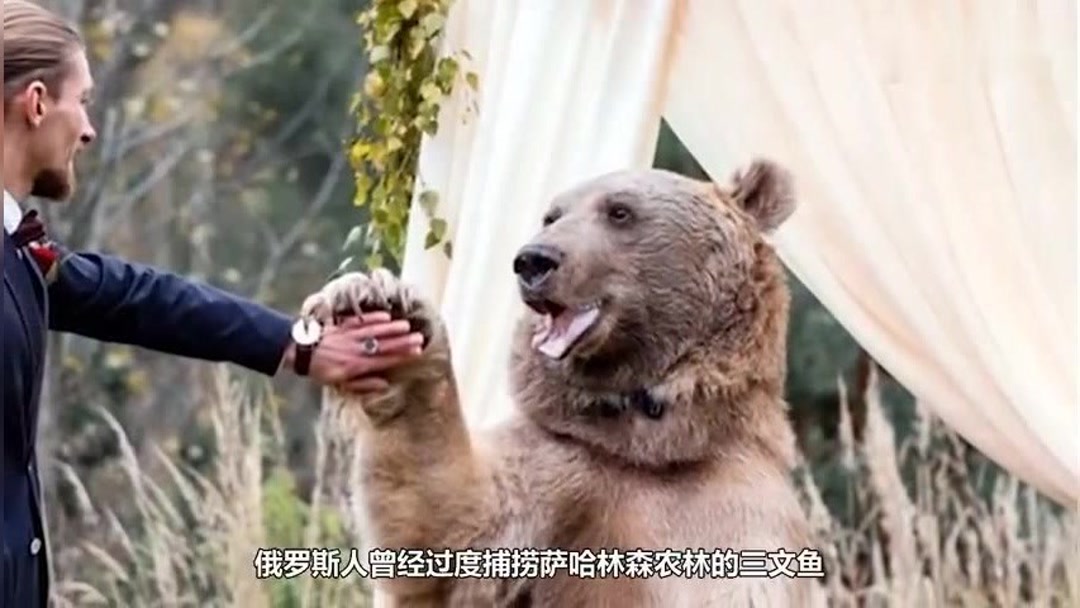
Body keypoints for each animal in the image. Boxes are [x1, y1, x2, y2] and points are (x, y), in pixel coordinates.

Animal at [299, 158, 823, 607]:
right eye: (551, 214)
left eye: (619, 210)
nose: (534, 260)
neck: (654, 440)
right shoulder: (565, 468)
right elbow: (452, 519)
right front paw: (381, 305)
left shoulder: (743, 503)